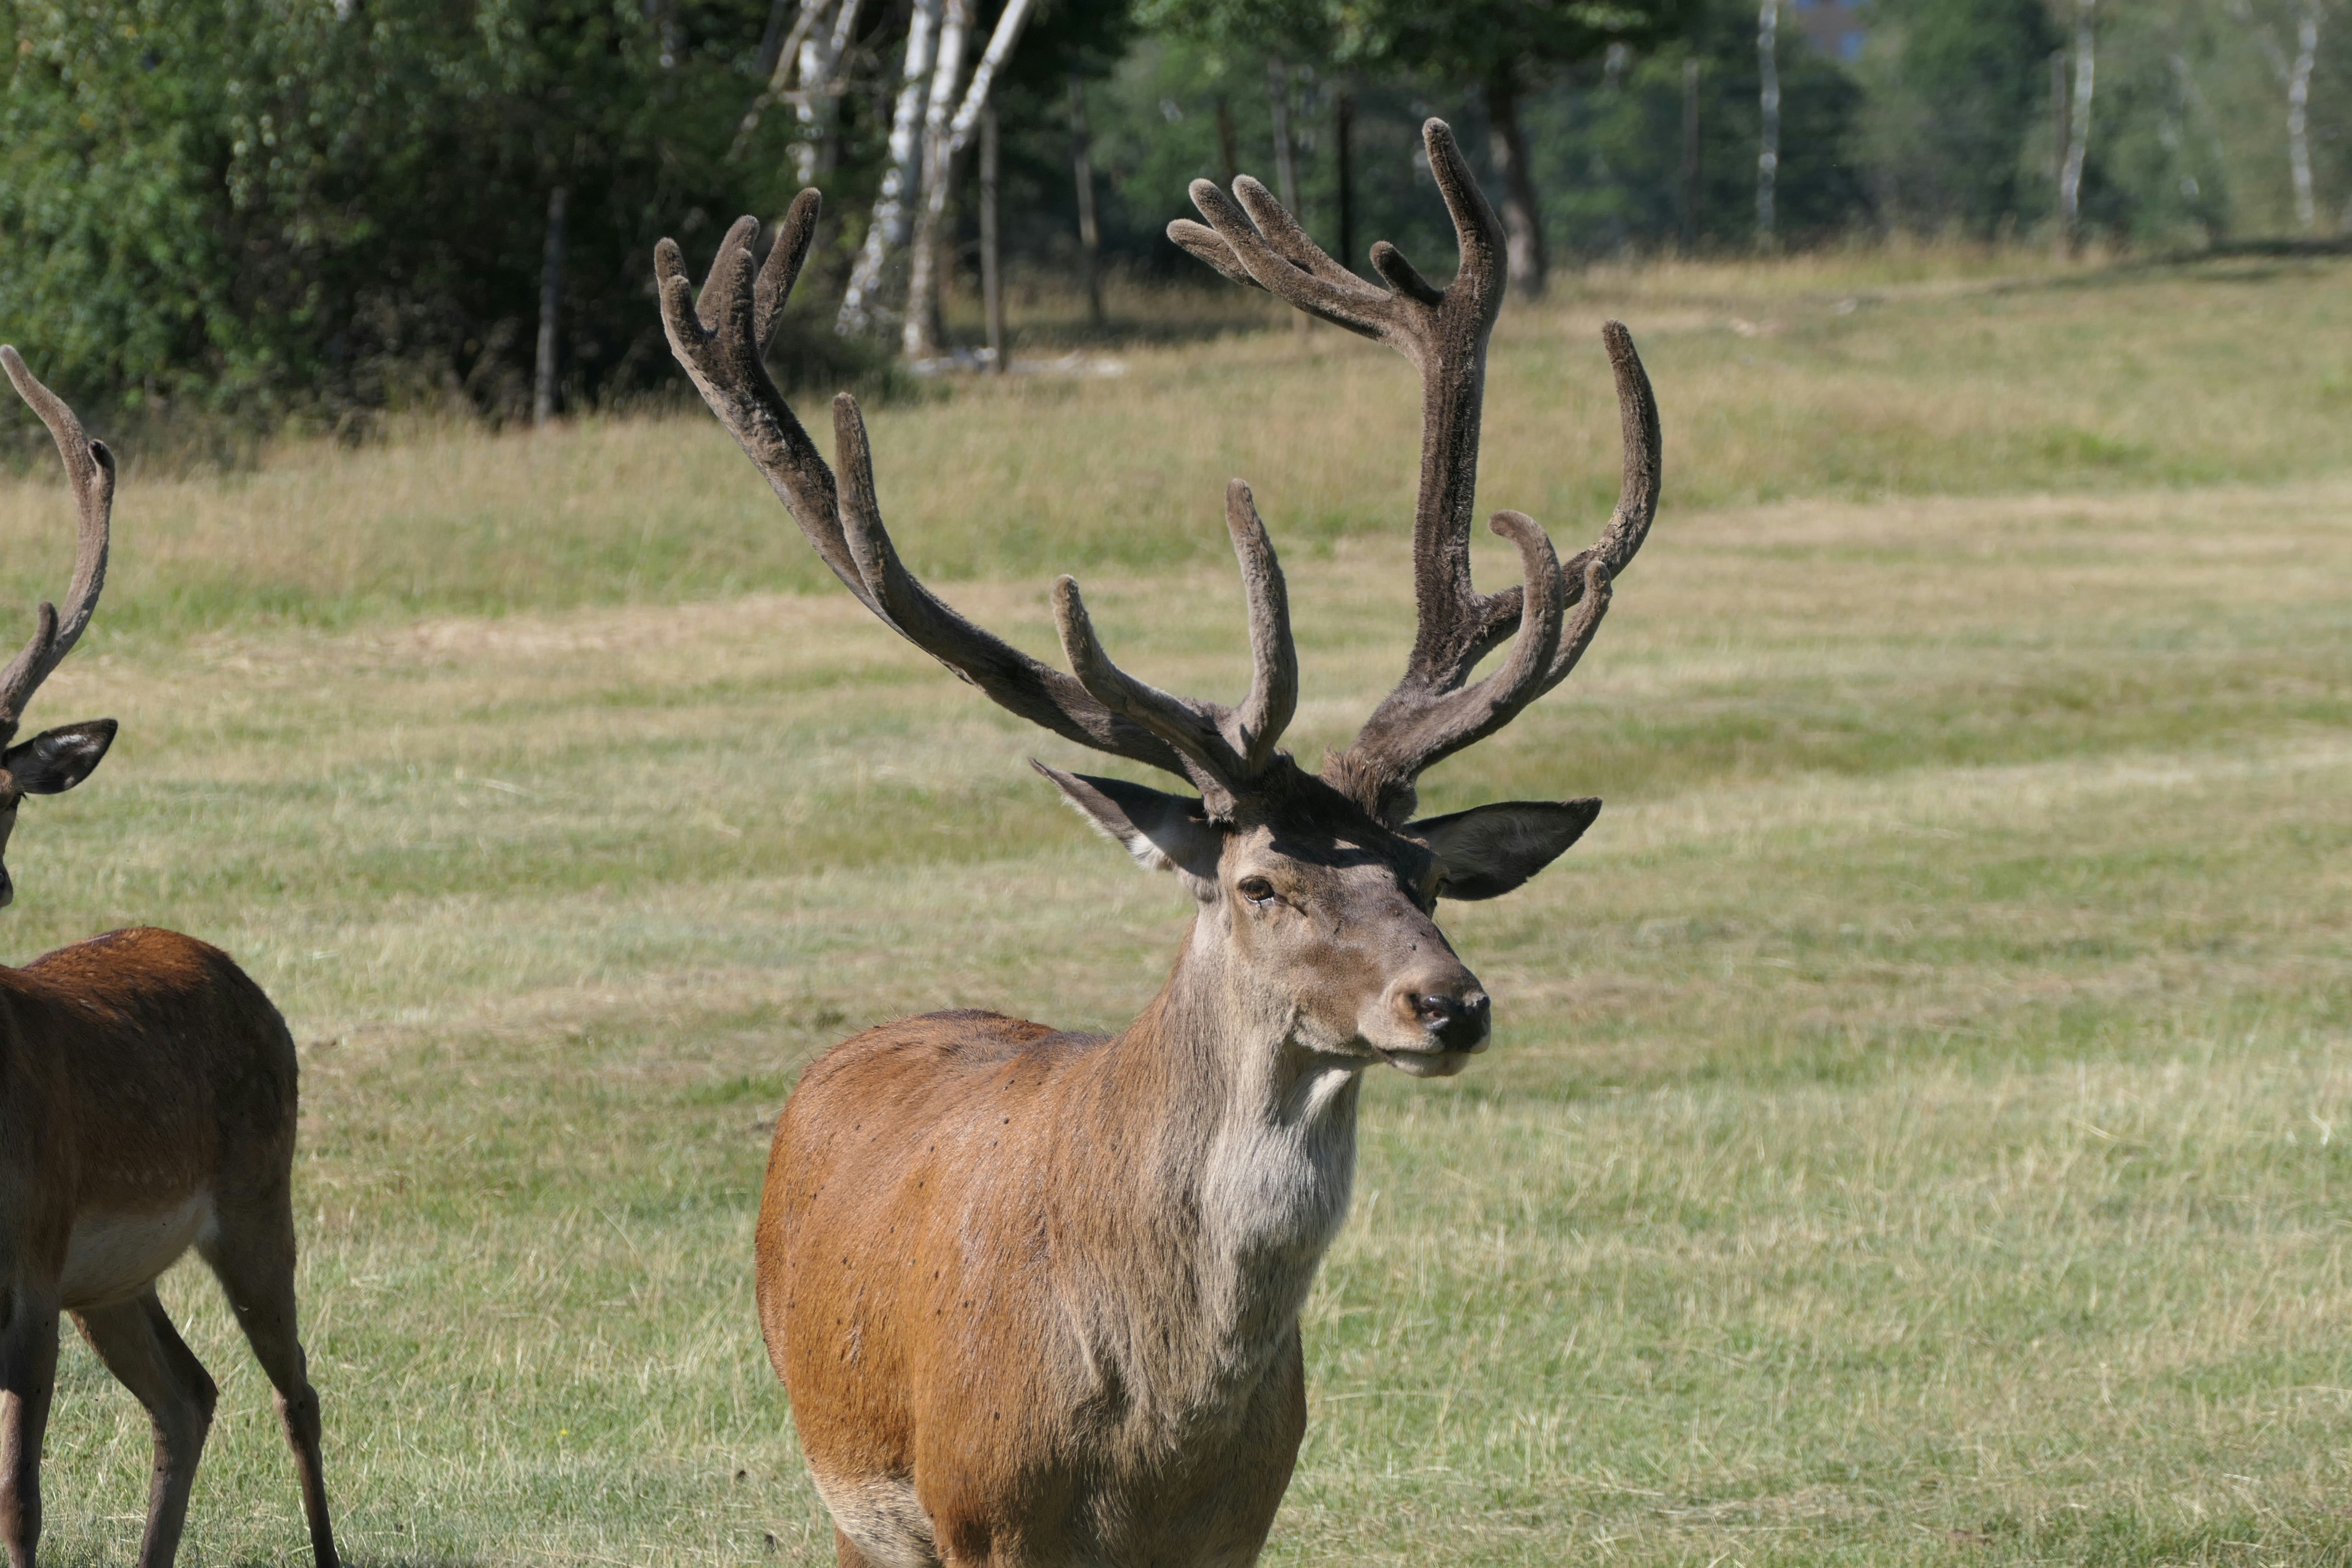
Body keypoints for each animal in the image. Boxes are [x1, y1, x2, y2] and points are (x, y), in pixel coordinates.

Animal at [0, 348, 340, 1568]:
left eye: (7, 792)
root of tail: (218, 958)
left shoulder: (31, 1267)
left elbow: (20, 1502)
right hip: (116, 1280)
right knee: (187, 1395)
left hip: (256, 1192)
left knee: (295, 1392)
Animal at [657, 118, 1659, 1567]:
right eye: (1260, 883)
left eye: (1423, 874)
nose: (1452, 1004)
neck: (1154, 1436)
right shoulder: (986, 1509)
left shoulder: (1246, 1515)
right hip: (852, 1485)